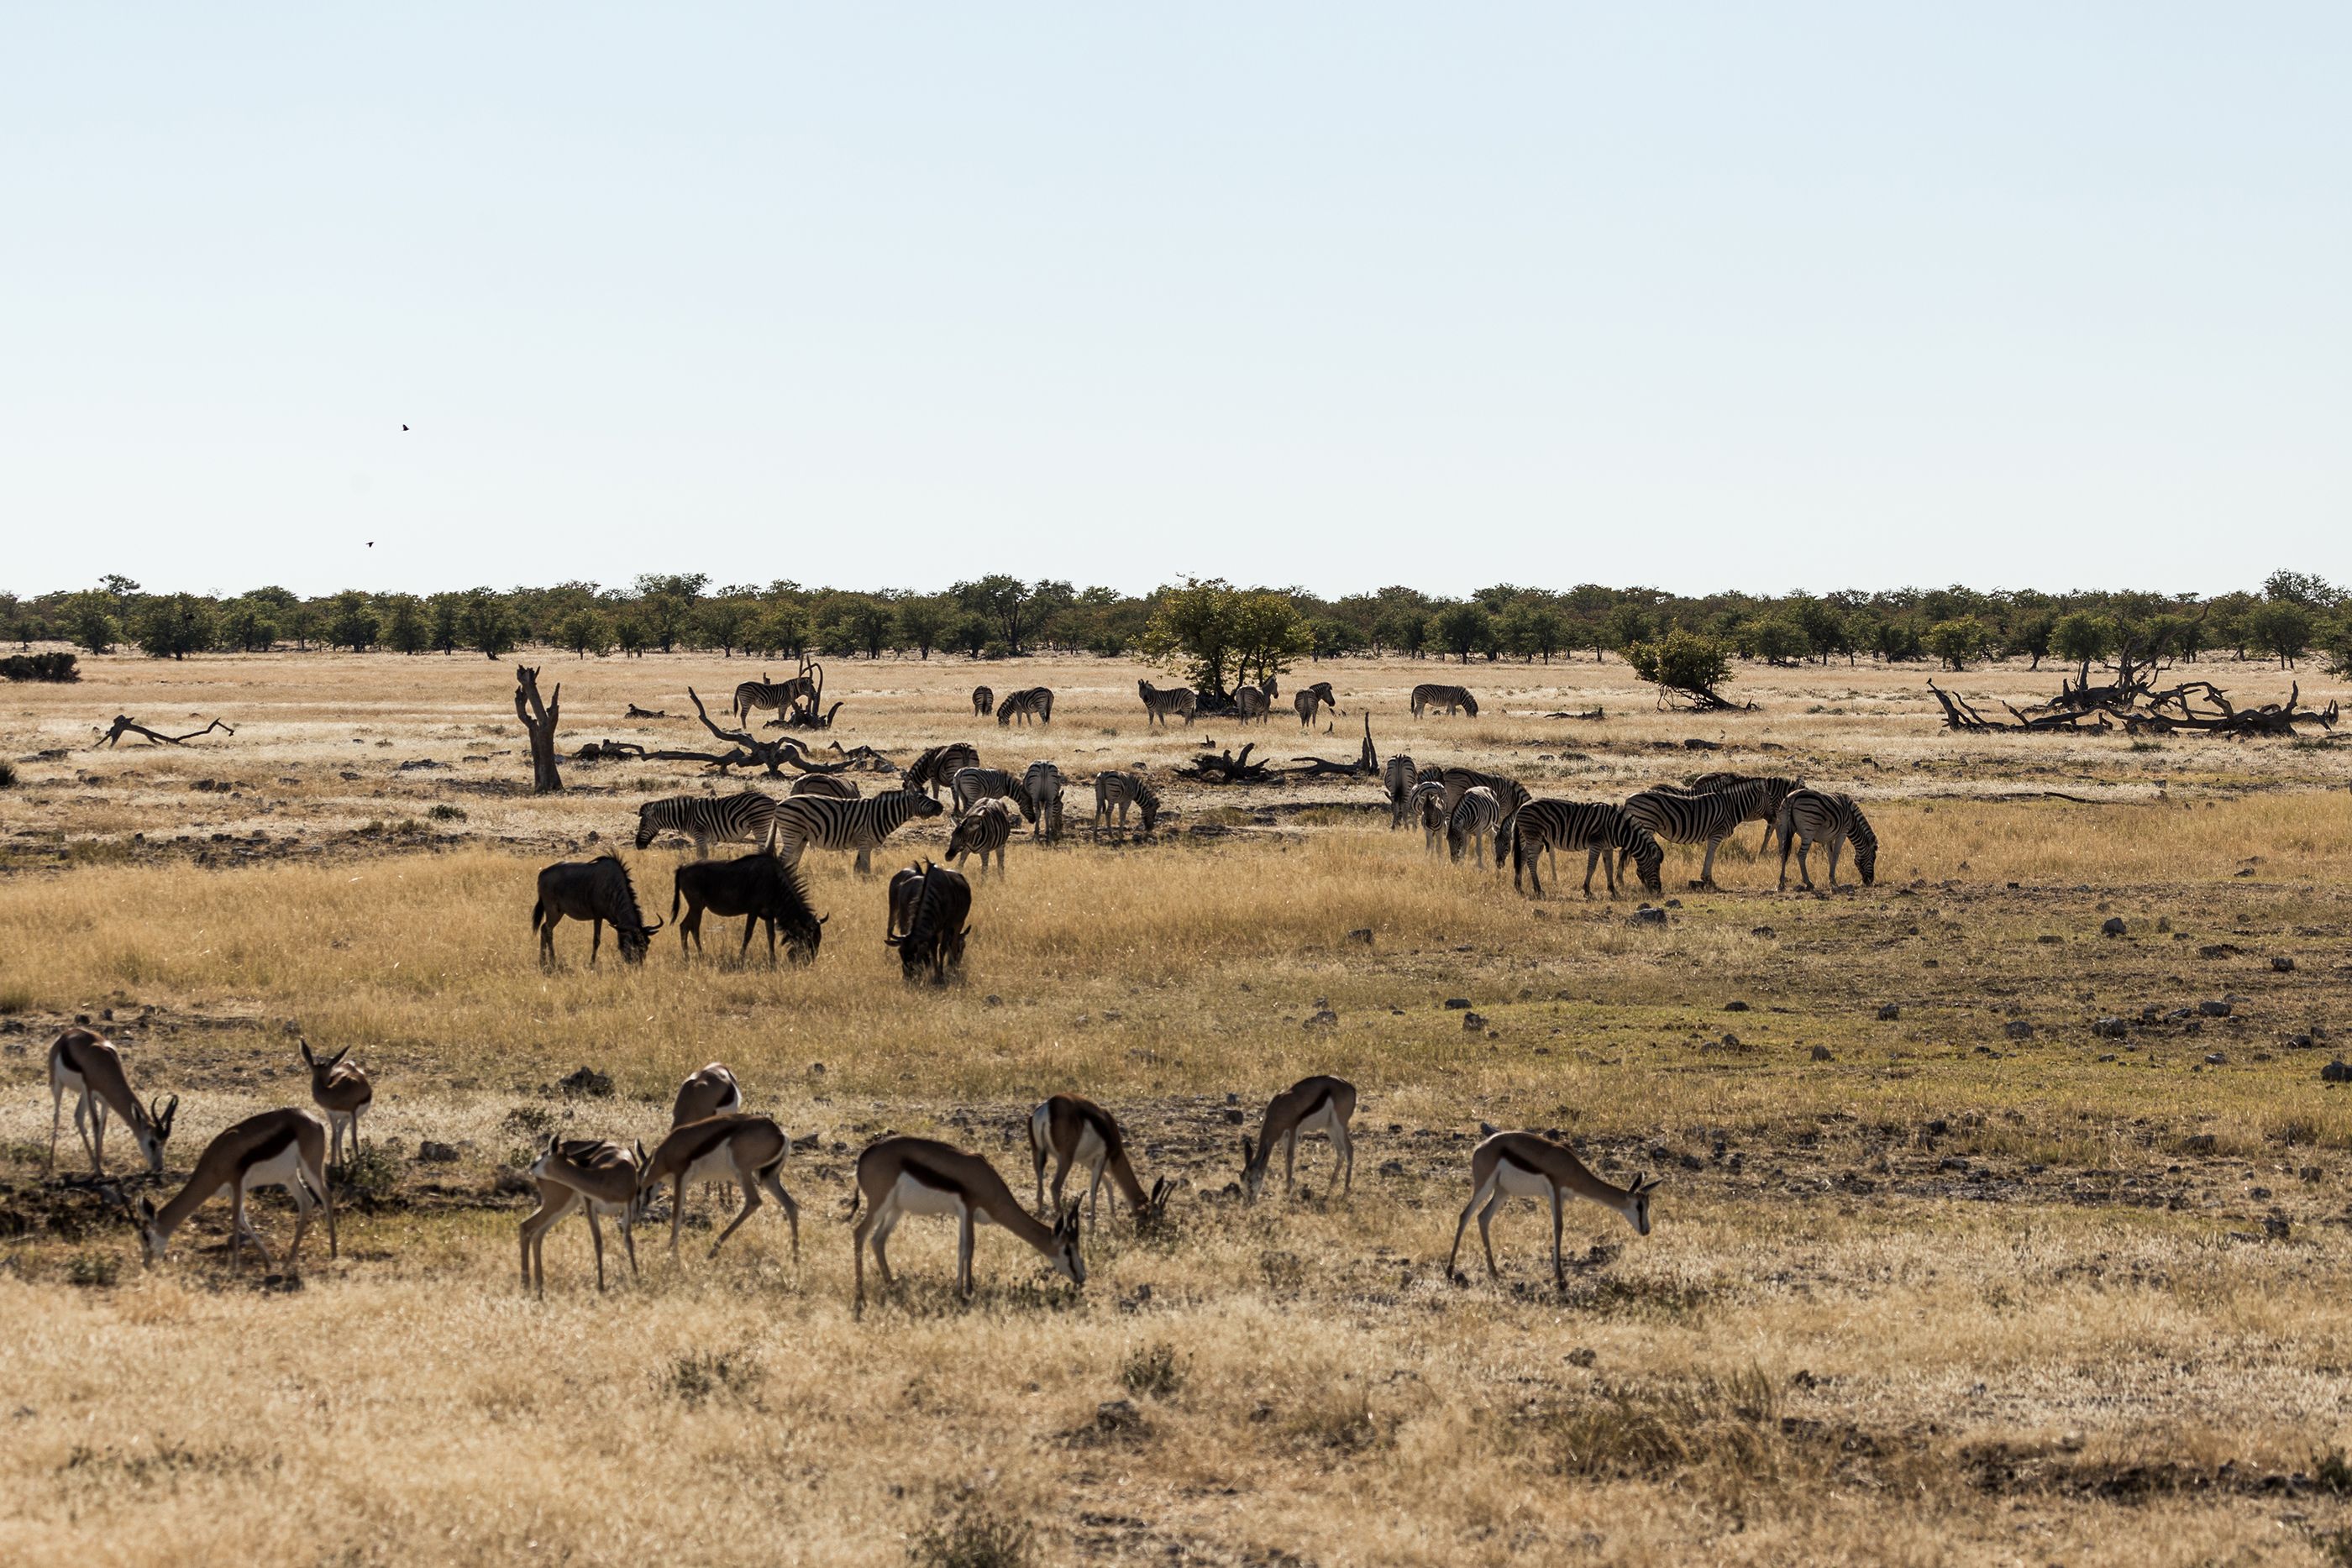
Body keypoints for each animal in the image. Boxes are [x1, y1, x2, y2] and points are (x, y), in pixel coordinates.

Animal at [634, 791, 780, 858]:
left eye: (643, 826)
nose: (638, 846)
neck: (685, 816)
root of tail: (772, 800)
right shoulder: (703, 837)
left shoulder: (699, 834)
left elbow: (702, 855)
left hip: (759, 824)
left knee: (762, 848)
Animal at [769, 787, 943, 875]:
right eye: (921, 798)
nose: (941, 806)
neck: (882, 814)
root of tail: (780, 804)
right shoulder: (865, 841)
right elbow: (866, 868)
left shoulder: (863, 843)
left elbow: (858, 867)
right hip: (792, 833)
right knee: (783, 859)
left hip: (801, 838)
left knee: (793, 861)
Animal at [1510, 800, 1664, 898]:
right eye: (1657, 868)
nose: (1659, 891)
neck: (1617, 828)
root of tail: (1520, 808)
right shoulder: (1597, 843)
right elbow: (1592, 867)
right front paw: (1587, 890)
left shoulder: (1607, 847)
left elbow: (1609, 867)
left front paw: (1613, 890)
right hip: (1534, 836)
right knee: (1531, 861)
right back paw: (1538, 889)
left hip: (1532, 838)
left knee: (1522, 857)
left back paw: (1519, 887)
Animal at [1621, 785, 1765, 890]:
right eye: (1770, 797)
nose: (1771, 819)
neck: (1731, 806)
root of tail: (1628, 800)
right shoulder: (1716, 833)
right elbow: (1711, 855)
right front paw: (1708, 880)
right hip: (1646, 824)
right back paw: (1641, 881)